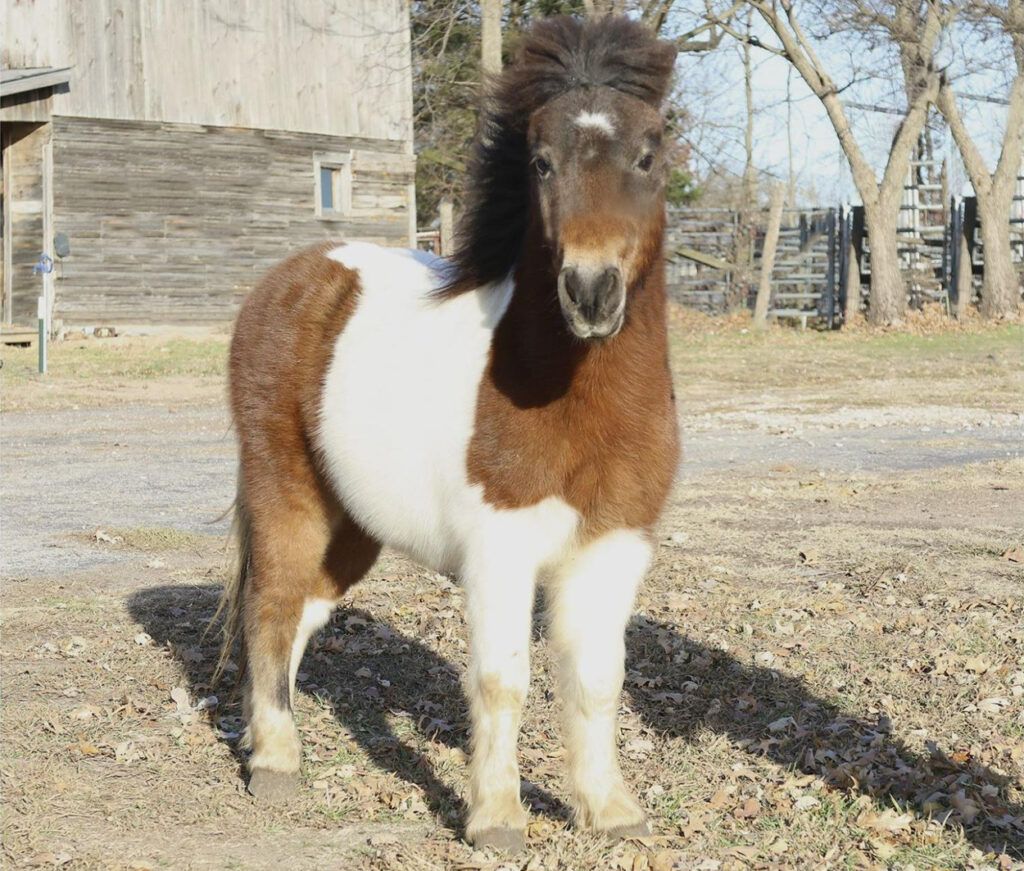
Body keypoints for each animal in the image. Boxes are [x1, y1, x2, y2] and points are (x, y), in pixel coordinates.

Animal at [218, 15, 680, 852]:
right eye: (541, 160)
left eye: (648, 152)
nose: (591, 291)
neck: (572, 402)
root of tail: (292, 277)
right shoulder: (500, 548)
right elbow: (502, 679)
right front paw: (495, 816)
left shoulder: (615, 544)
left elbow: (598, 678)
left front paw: (609, 808)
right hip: (285, 492)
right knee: (270, 604)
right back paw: (274, 760)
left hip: (349, 526)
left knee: (304, 611)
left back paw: (267, 736)